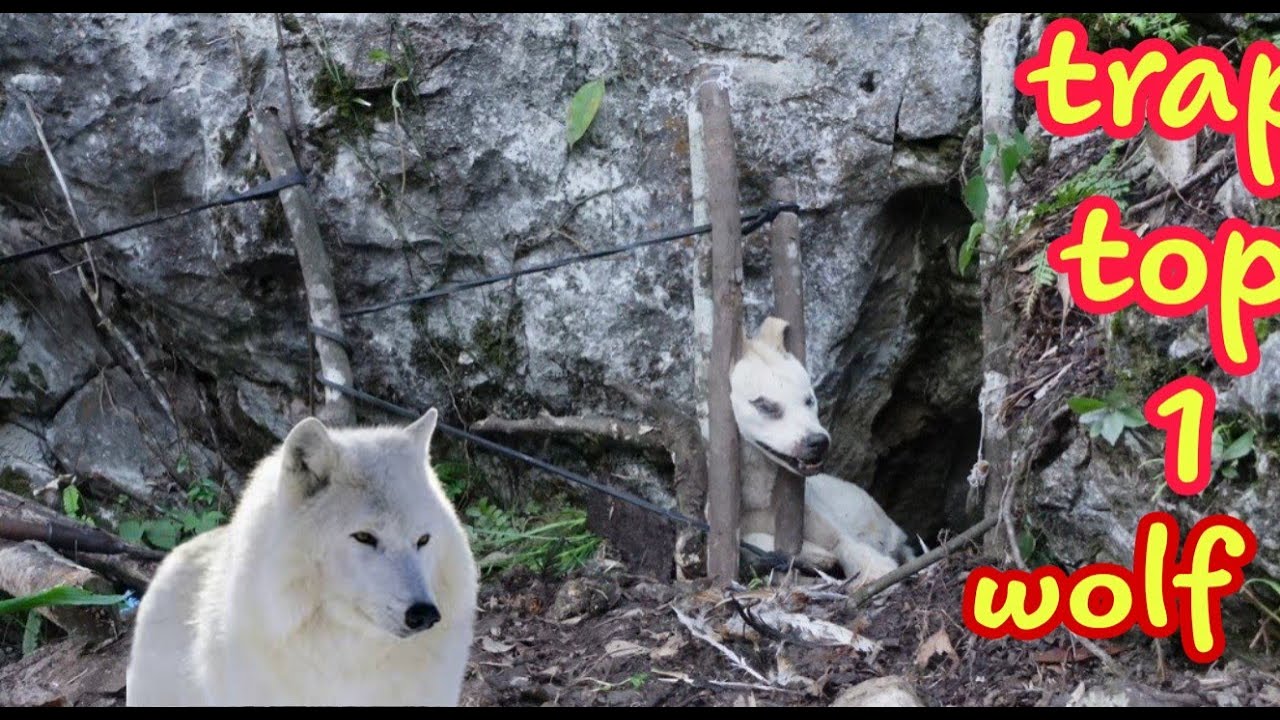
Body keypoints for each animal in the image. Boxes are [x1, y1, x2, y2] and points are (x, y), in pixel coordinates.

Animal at [732, 317, 916, 583]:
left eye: (809, 400)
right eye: (765, 406)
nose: (818, 441)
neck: (760, 491)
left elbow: (843, 540)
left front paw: (875, 568)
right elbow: (753, 543)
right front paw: (814, 556)